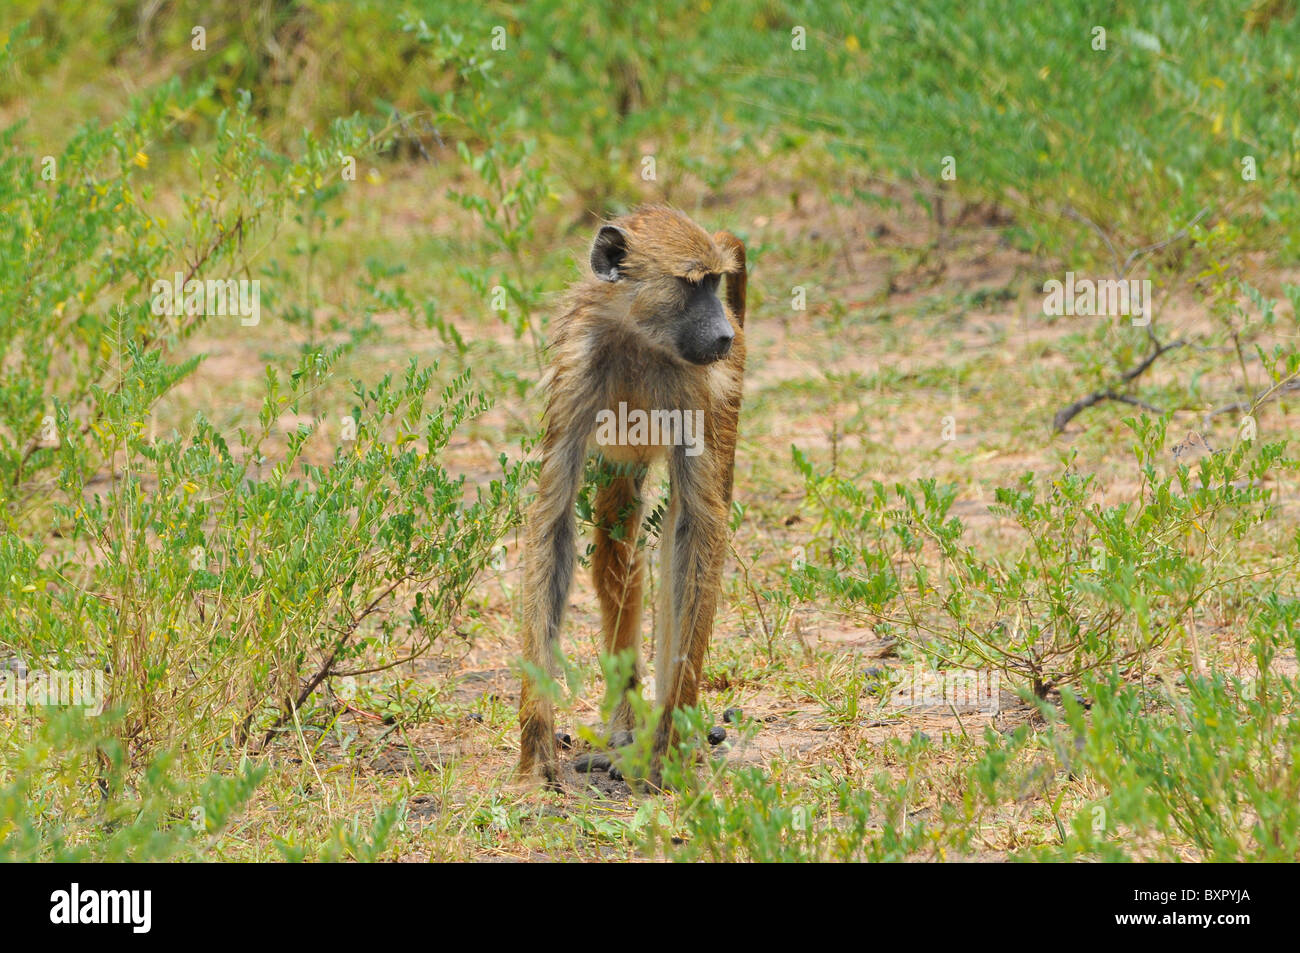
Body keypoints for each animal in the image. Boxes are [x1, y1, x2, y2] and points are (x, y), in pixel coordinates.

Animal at [517, 205, 747, 789]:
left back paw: (663, 736)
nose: (724, 336)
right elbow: (553, 519)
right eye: (692, 284)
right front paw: (536, 741)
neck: (639, 337)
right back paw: (623, 726)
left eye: (715, 282)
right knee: (616, 545)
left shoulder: (696, 388)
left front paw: (667, 746)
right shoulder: (578, 371)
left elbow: (698, 525)